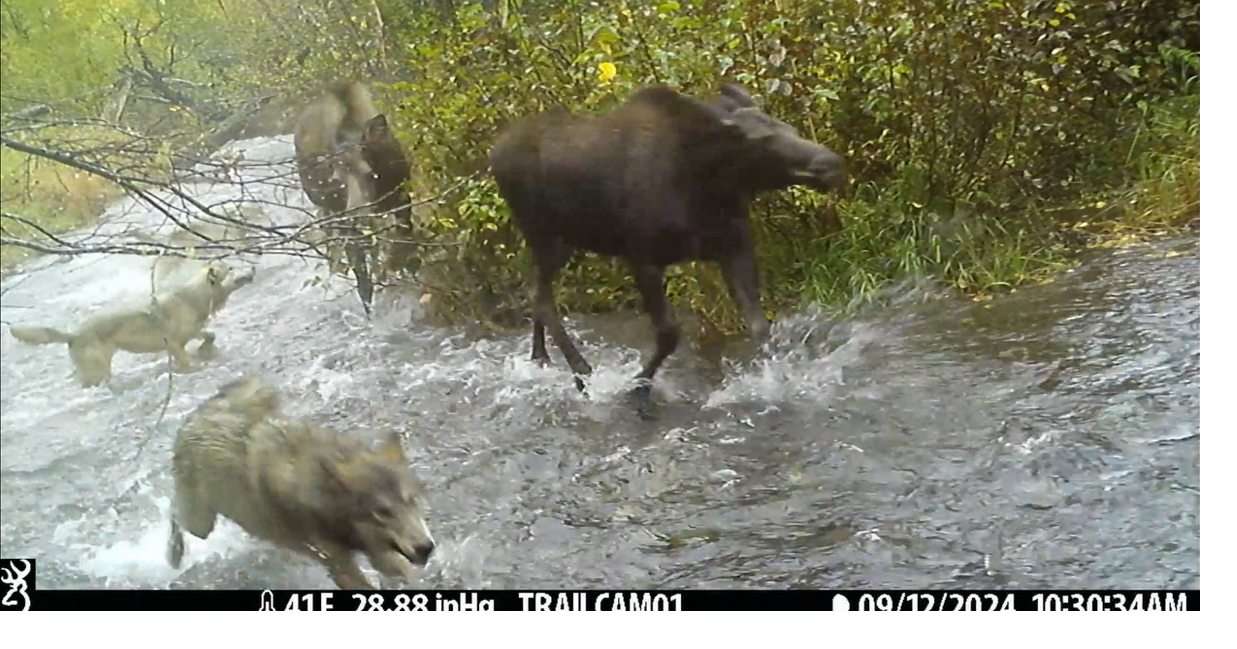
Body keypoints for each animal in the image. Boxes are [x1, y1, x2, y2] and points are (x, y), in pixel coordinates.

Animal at [8, 262, 256, 389]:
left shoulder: (193, 331)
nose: (253, 266)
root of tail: (72, 332)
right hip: (98, 369)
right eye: (232, 268)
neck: (194, 297)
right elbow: (187, 360)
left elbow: (209, 335)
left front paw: (207, 351)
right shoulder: (174, 345)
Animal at [166, 375, 436, 590]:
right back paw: (173, 552)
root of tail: (194, 416)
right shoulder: (338, 565)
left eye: (412, 501)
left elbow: (408, 575)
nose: (426, 547)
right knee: (174, 510)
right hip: (201, 525)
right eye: (382, 512)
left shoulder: (380, 556)